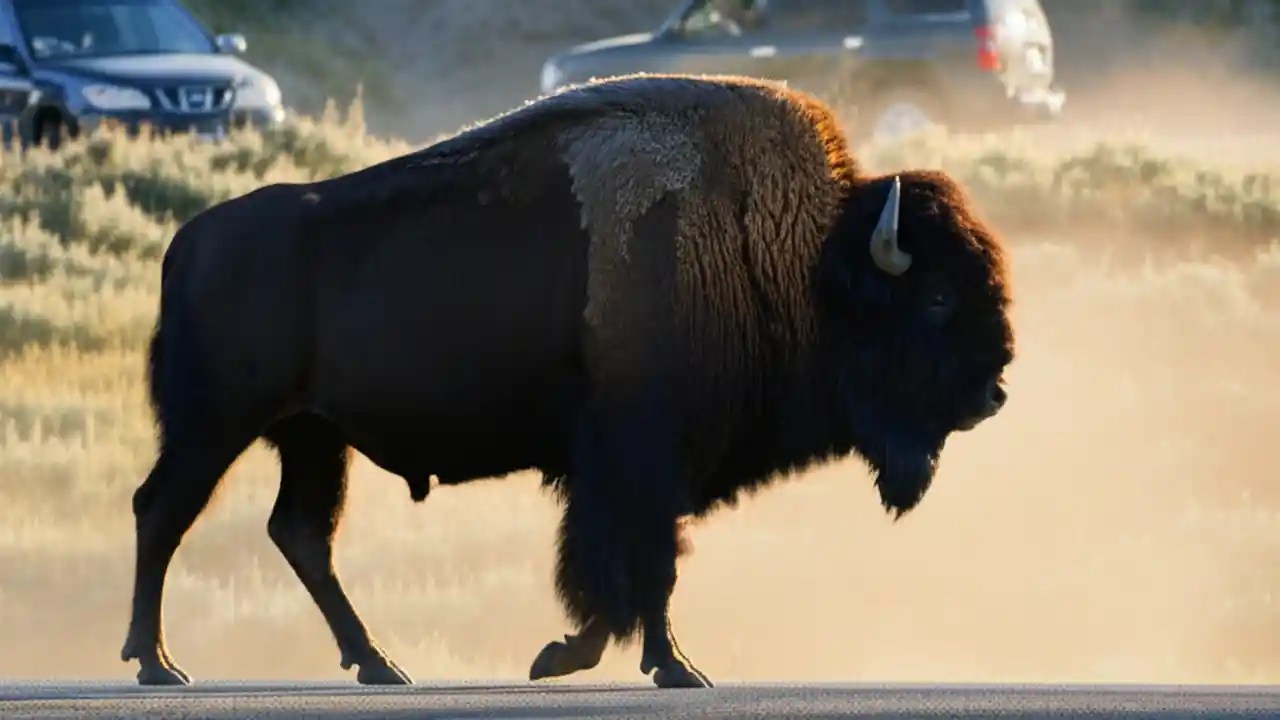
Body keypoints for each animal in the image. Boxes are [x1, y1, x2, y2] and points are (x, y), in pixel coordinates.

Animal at [119, 73, 1014, 690]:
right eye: (937, 297)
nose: (994, 391)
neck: (795, 260)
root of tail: (184, 244)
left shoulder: (635, 471)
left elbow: (628, 572)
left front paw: (597, 656)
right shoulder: (636, 461)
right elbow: (636, 567)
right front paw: (655, 665)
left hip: (311, 435)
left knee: (301, 533)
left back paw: (378, 665)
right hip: (215, 426)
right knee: (163, 510)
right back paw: (156, 662)